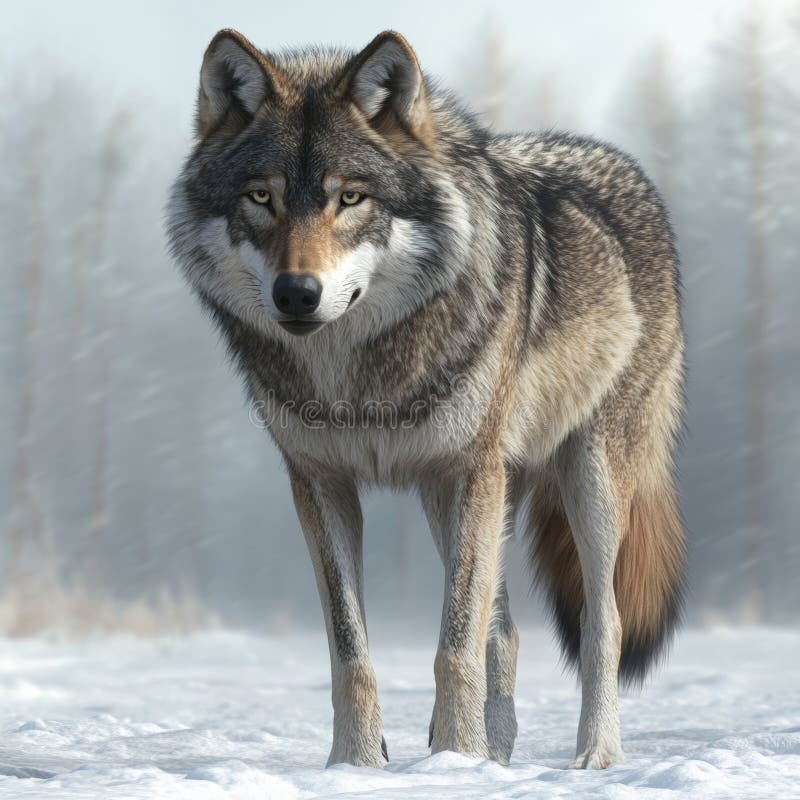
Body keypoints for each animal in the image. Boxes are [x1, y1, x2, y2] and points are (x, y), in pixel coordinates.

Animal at [167, 28, 686, 770]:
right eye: (260, 197)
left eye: (351, 198)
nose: (297, 293)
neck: (359, 380)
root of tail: (630, 173)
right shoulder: (320, 483)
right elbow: (354, 653)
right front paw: (359, 765)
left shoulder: (469, 469)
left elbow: (453, 647)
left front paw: (454, 755)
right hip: (459, 500)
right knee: (506, 632)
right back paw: (493, 759)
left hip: (582, 480)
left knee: (602, 622)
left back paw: (594, 755)